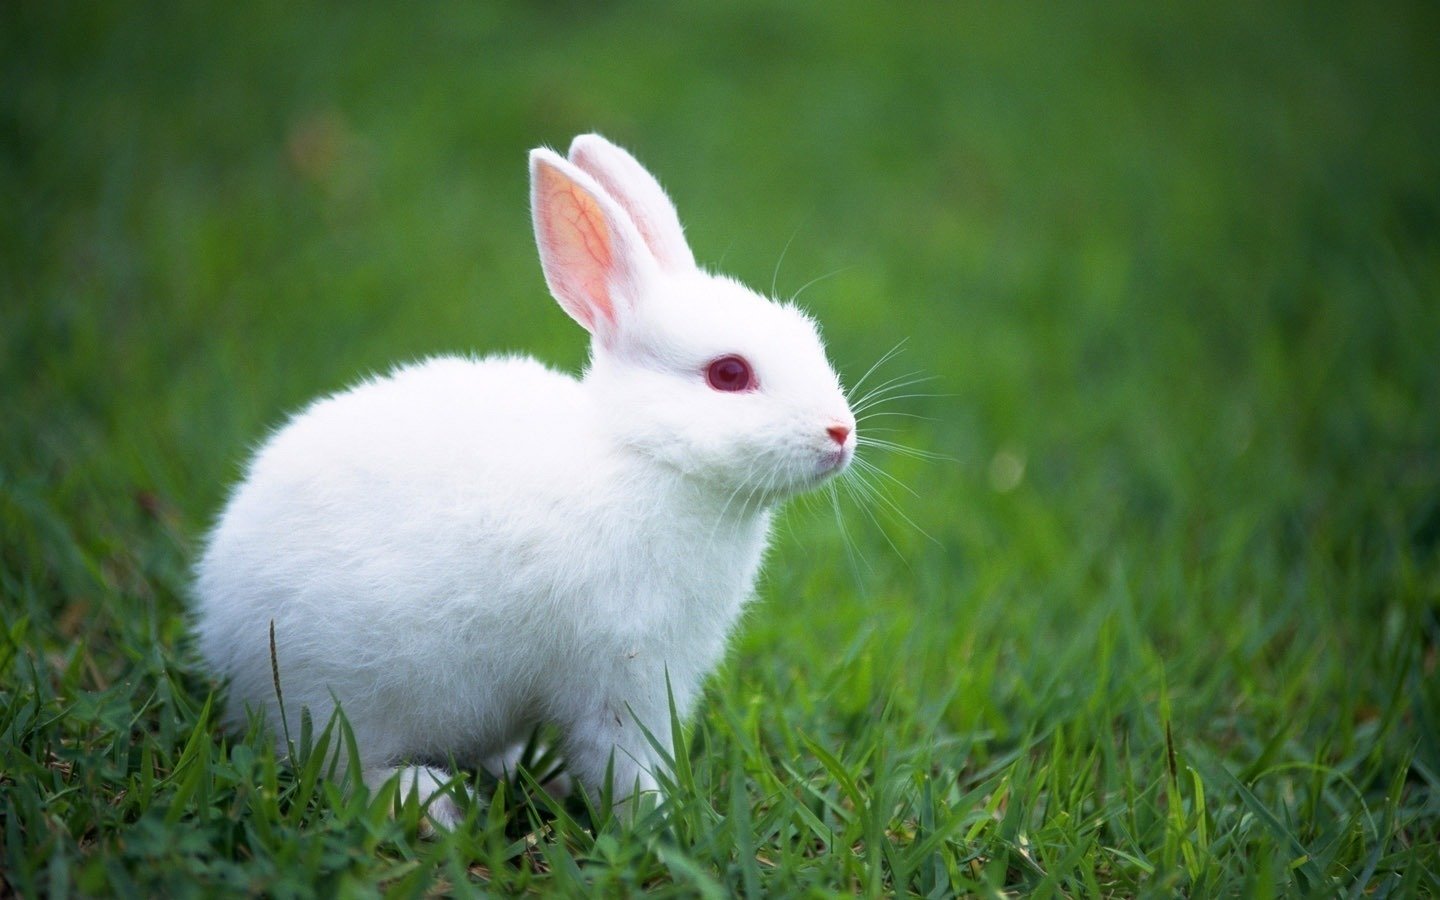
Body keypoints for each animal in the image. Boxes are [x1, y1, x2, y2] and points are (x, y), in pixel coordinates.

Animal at [193, 133, 857, 828]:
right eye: (729, 374)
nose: (841, 432)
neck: (646, 457)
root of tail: (220, 633)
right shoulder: (622, 677)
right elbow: (623, 762)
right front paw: (660, 822)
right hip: (342, 695)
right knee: (340, 766)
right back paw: (430, 802)